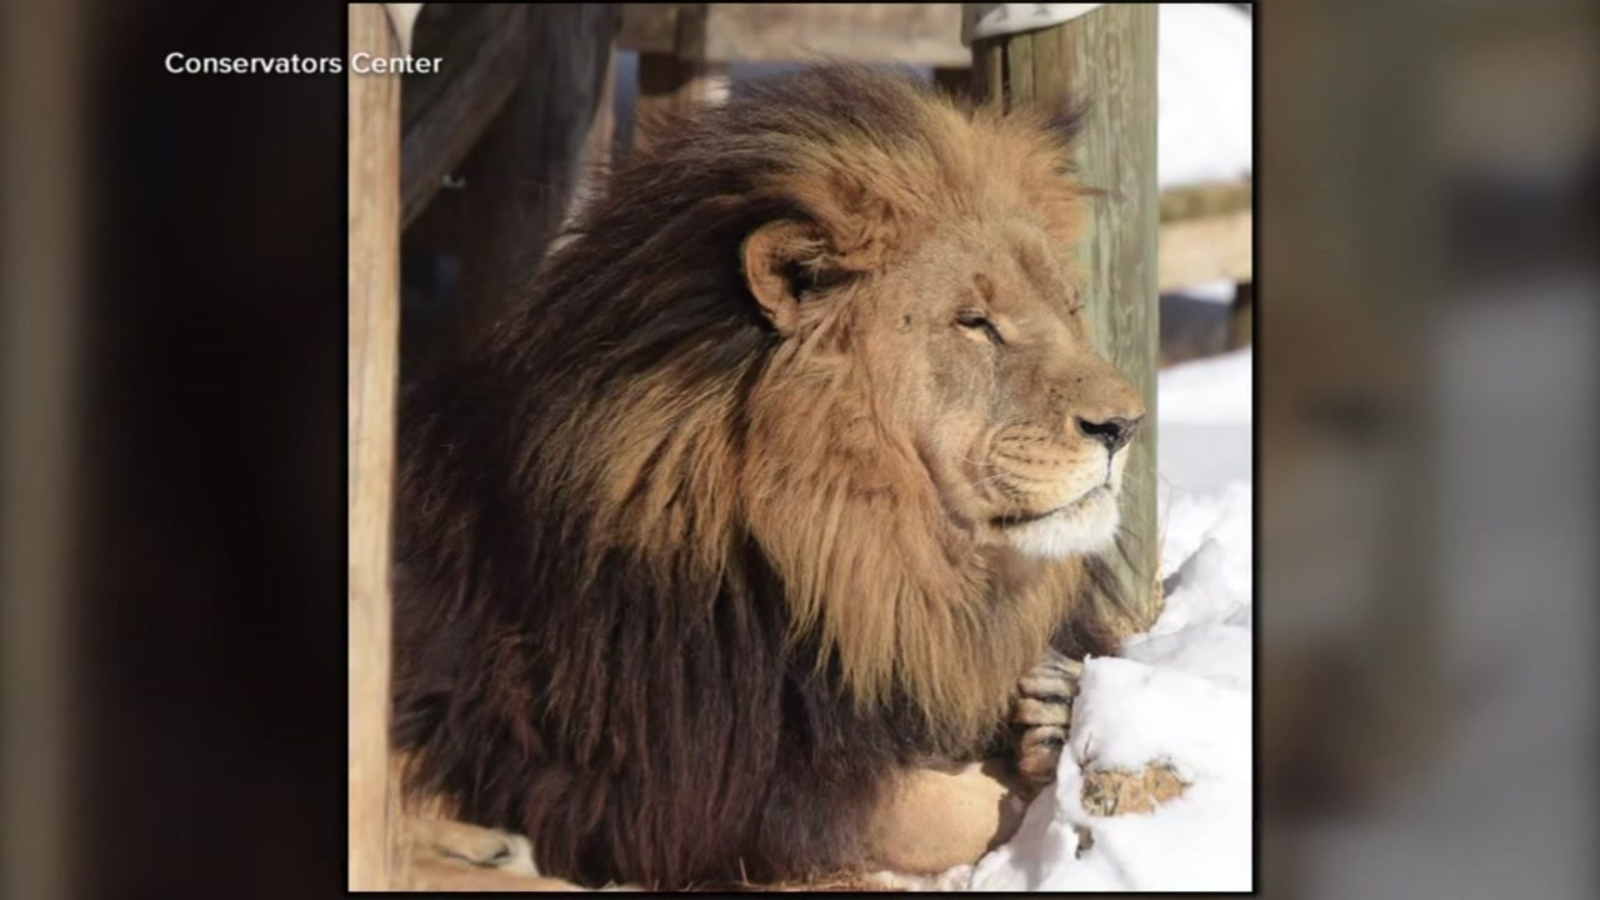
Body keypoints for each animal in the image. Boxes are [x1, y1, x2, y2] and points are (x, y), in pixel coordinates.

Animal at [389, 65, 1146, 890]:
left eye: (1069, 307)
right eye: (974, 323)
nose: (1125, 425)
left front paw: (1061, 707)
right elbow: (940, 808)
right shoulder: (683, 791)